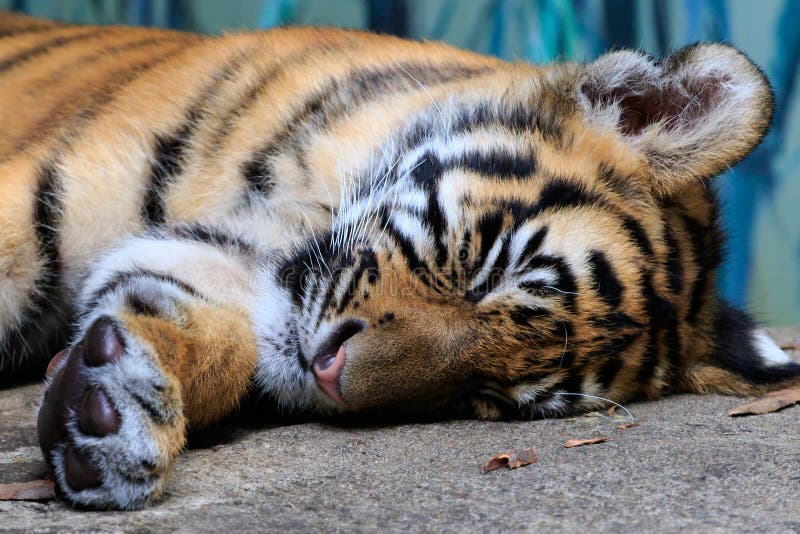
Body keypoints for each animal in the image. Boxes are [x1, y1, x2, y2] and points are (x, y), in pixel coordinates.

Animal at [1, 11, 798, 510]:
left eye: (483, 397)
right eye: (485, 267)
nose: (328, 375)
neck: (281, 224)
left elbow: (211, 340)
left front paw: (110, 415)